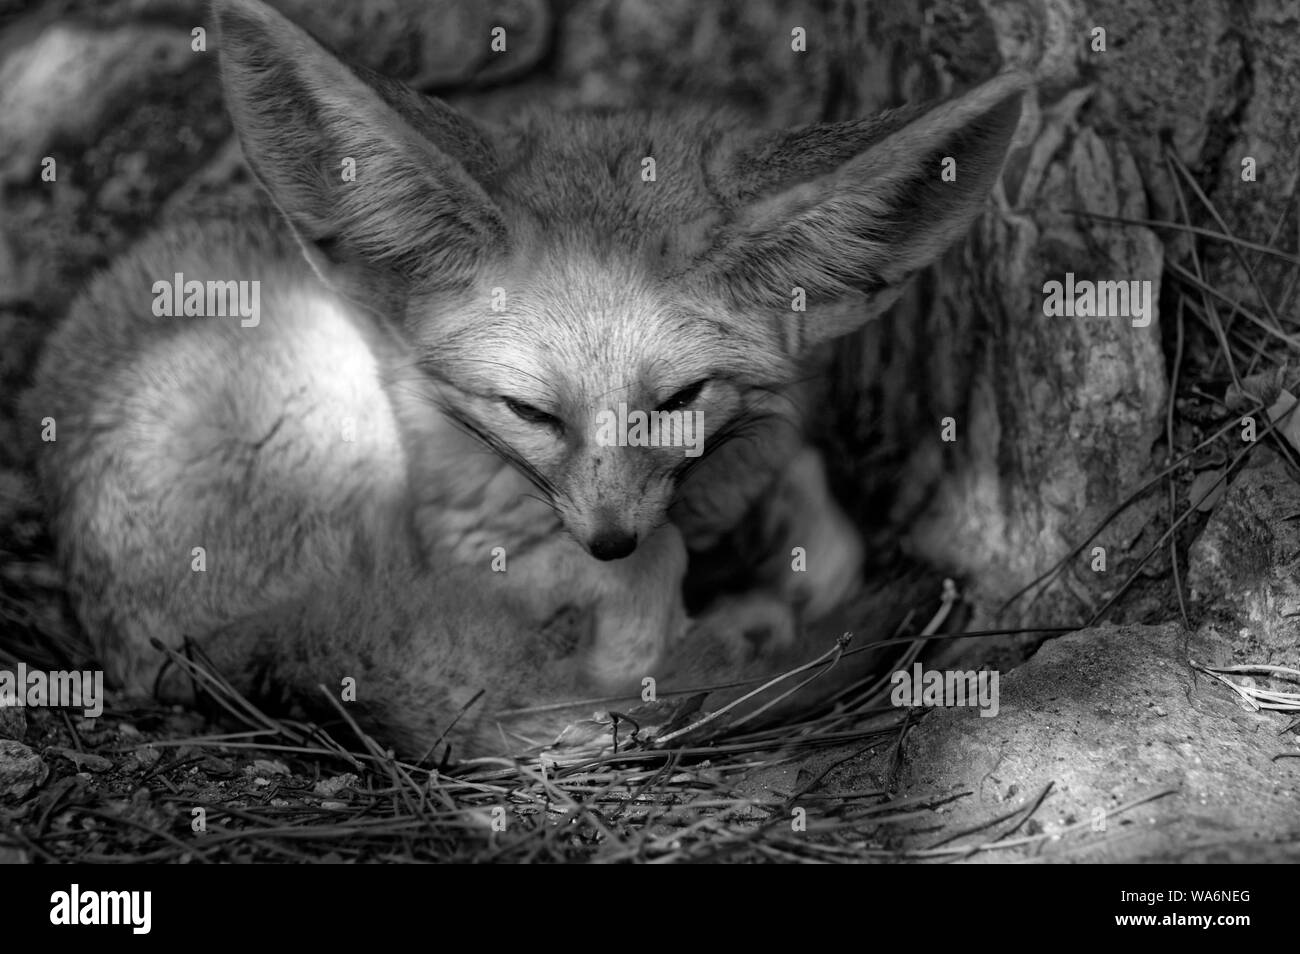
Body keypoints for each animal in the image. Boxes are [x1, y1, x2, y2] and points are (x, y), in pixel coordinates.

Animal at [25, 0, 1026, 759]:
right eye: (529, 412)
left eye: (678, 403)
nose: (608, 540)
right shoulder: (471, 543)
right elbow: (649, 600)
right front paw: (733, 617)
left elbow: (824, 519)